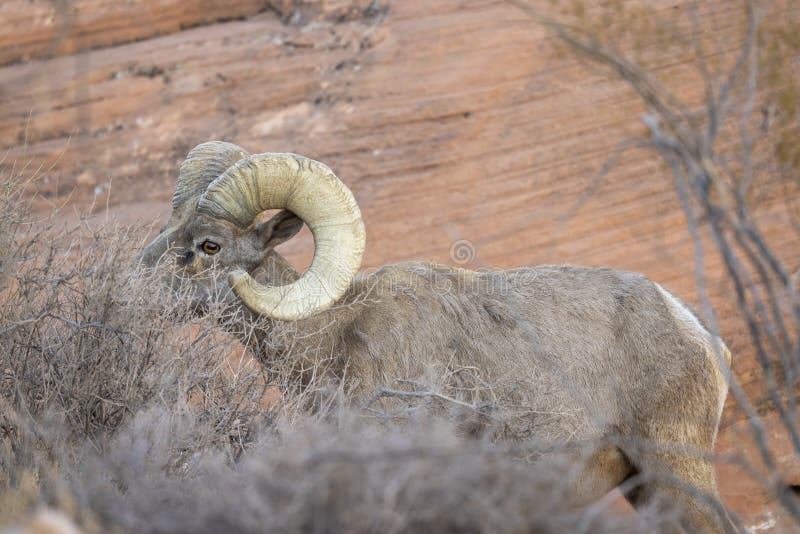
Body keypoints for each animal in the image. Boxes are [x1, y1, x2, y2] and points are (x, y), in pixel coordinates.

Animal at [136, 141, 735, 533]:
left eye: (209, 245)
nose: (133, 282)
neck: (333, 337)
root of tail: (698, 334)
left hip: (676, 470)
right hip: (645, 487)